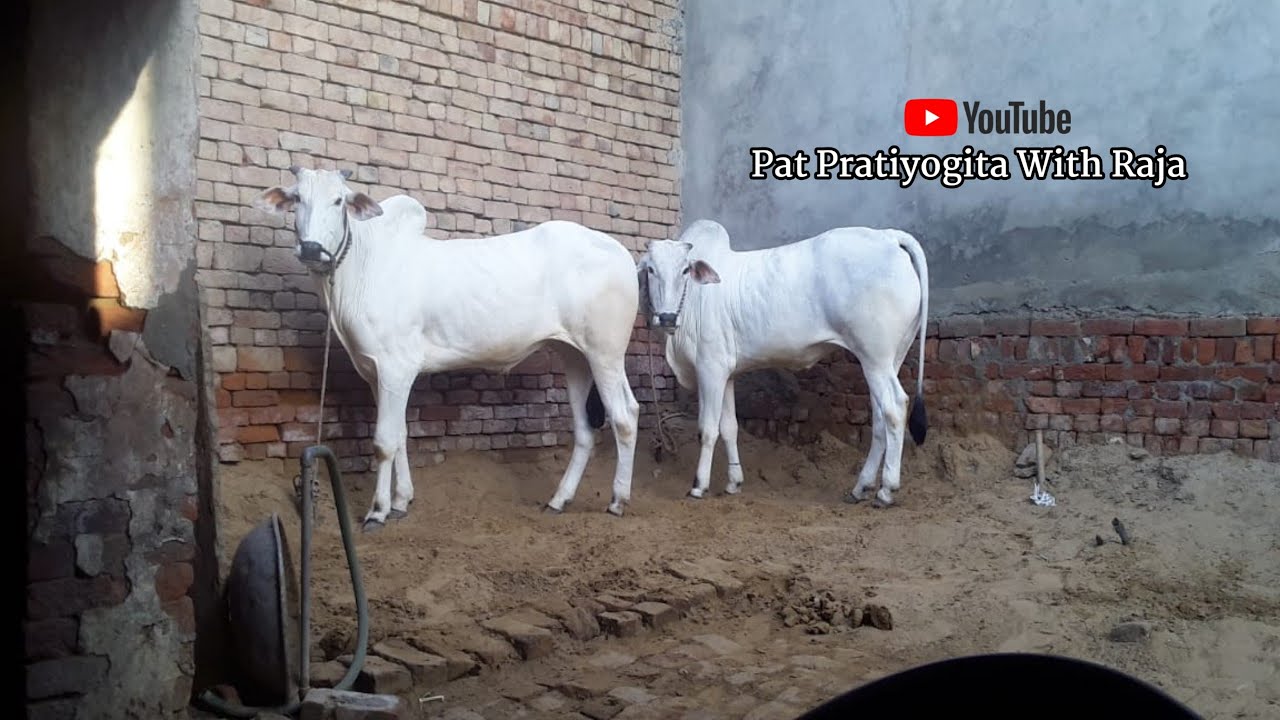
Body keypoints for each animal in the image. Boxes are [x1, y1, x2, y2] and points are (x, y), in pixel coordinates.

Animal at [255, 166, 640, 531]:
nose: (310, 248)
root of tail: (621, 253)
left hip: (605, 352)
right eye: (297, 199)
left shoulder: (395, 367)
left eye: (338, 201)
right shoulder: (375, 373)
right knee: (587, 429)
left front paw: (378, 511)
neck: (359, 271)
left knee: (624, 417)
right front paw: (401, 501)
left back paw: (618, 501)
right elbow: (400, 434)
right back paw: (559, 500)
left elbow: (384, 441)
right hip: (574, 355)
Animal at [637, 219, 929, 508]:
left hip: (875, 358)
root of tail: (889, 236)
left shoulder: (710, 369)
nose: (666, 317)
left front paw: (699, 485)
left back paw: (886, 490)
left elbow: (707, 429)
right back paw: (861, 487)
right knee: (880, 418)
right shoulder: (726, 373)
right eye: (651, 269)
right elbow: (729, 427)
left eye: (685, 270)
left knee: (894, 408)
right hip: (890, 358)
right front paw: (734, 482)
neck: (694, 300)